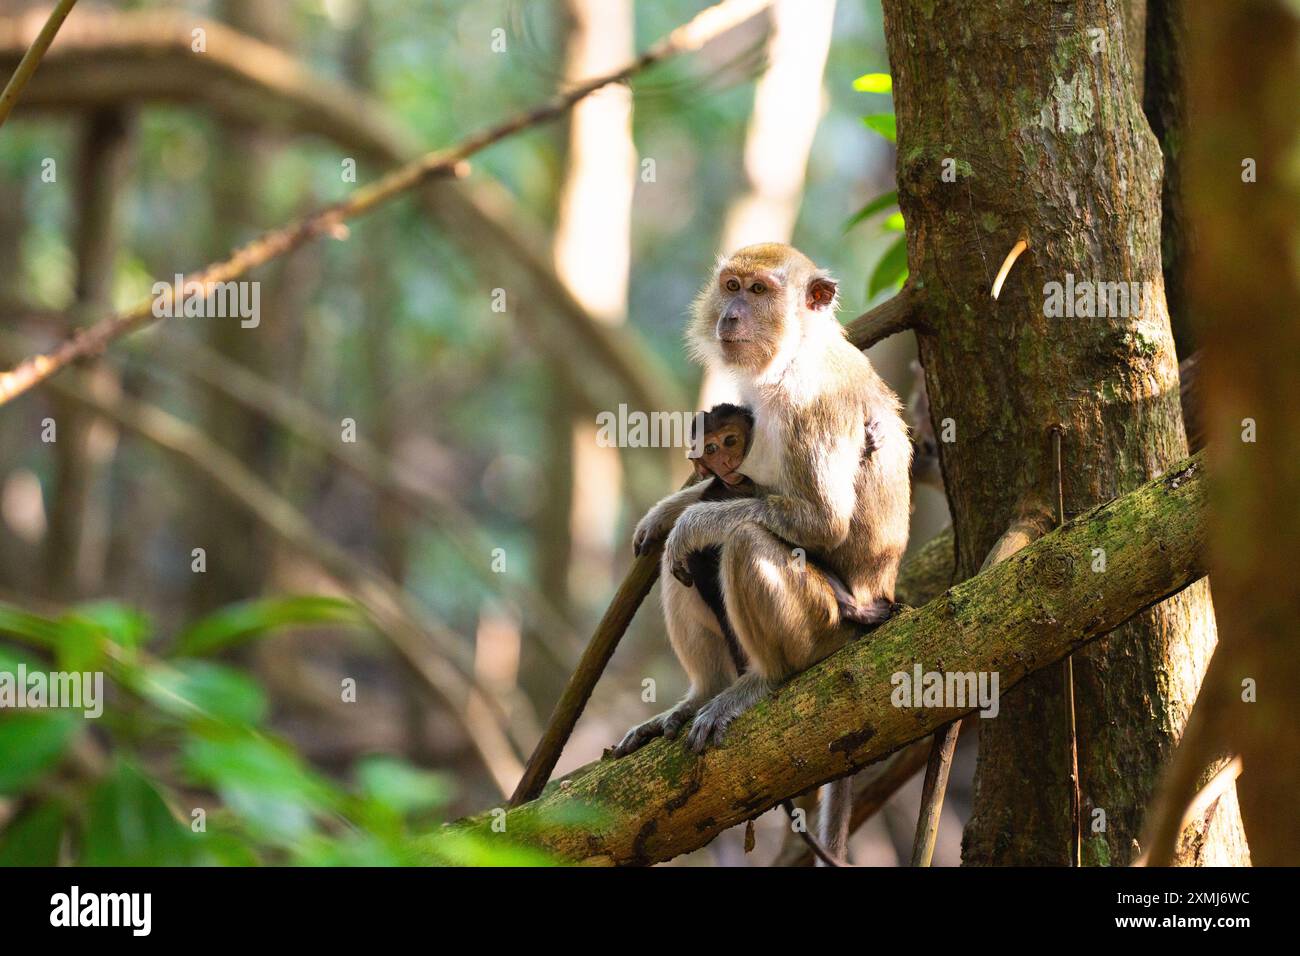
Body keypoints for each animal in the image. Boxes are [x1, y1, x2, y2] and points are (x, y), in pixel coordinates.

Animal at [614, 243, 912, 862]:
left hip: (829, 623)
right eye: (731, 286)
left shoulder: (811, 401)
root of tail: (882, 601)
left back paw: (764, 681)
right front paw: (666, 511)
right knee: (679, 568)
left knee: (741, 543)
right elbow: (717, 498)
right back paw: (703, 692)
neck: (795, 351)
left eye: (758, 292)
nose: (730, 316)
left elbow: (821, 520)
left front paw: (689, 521)